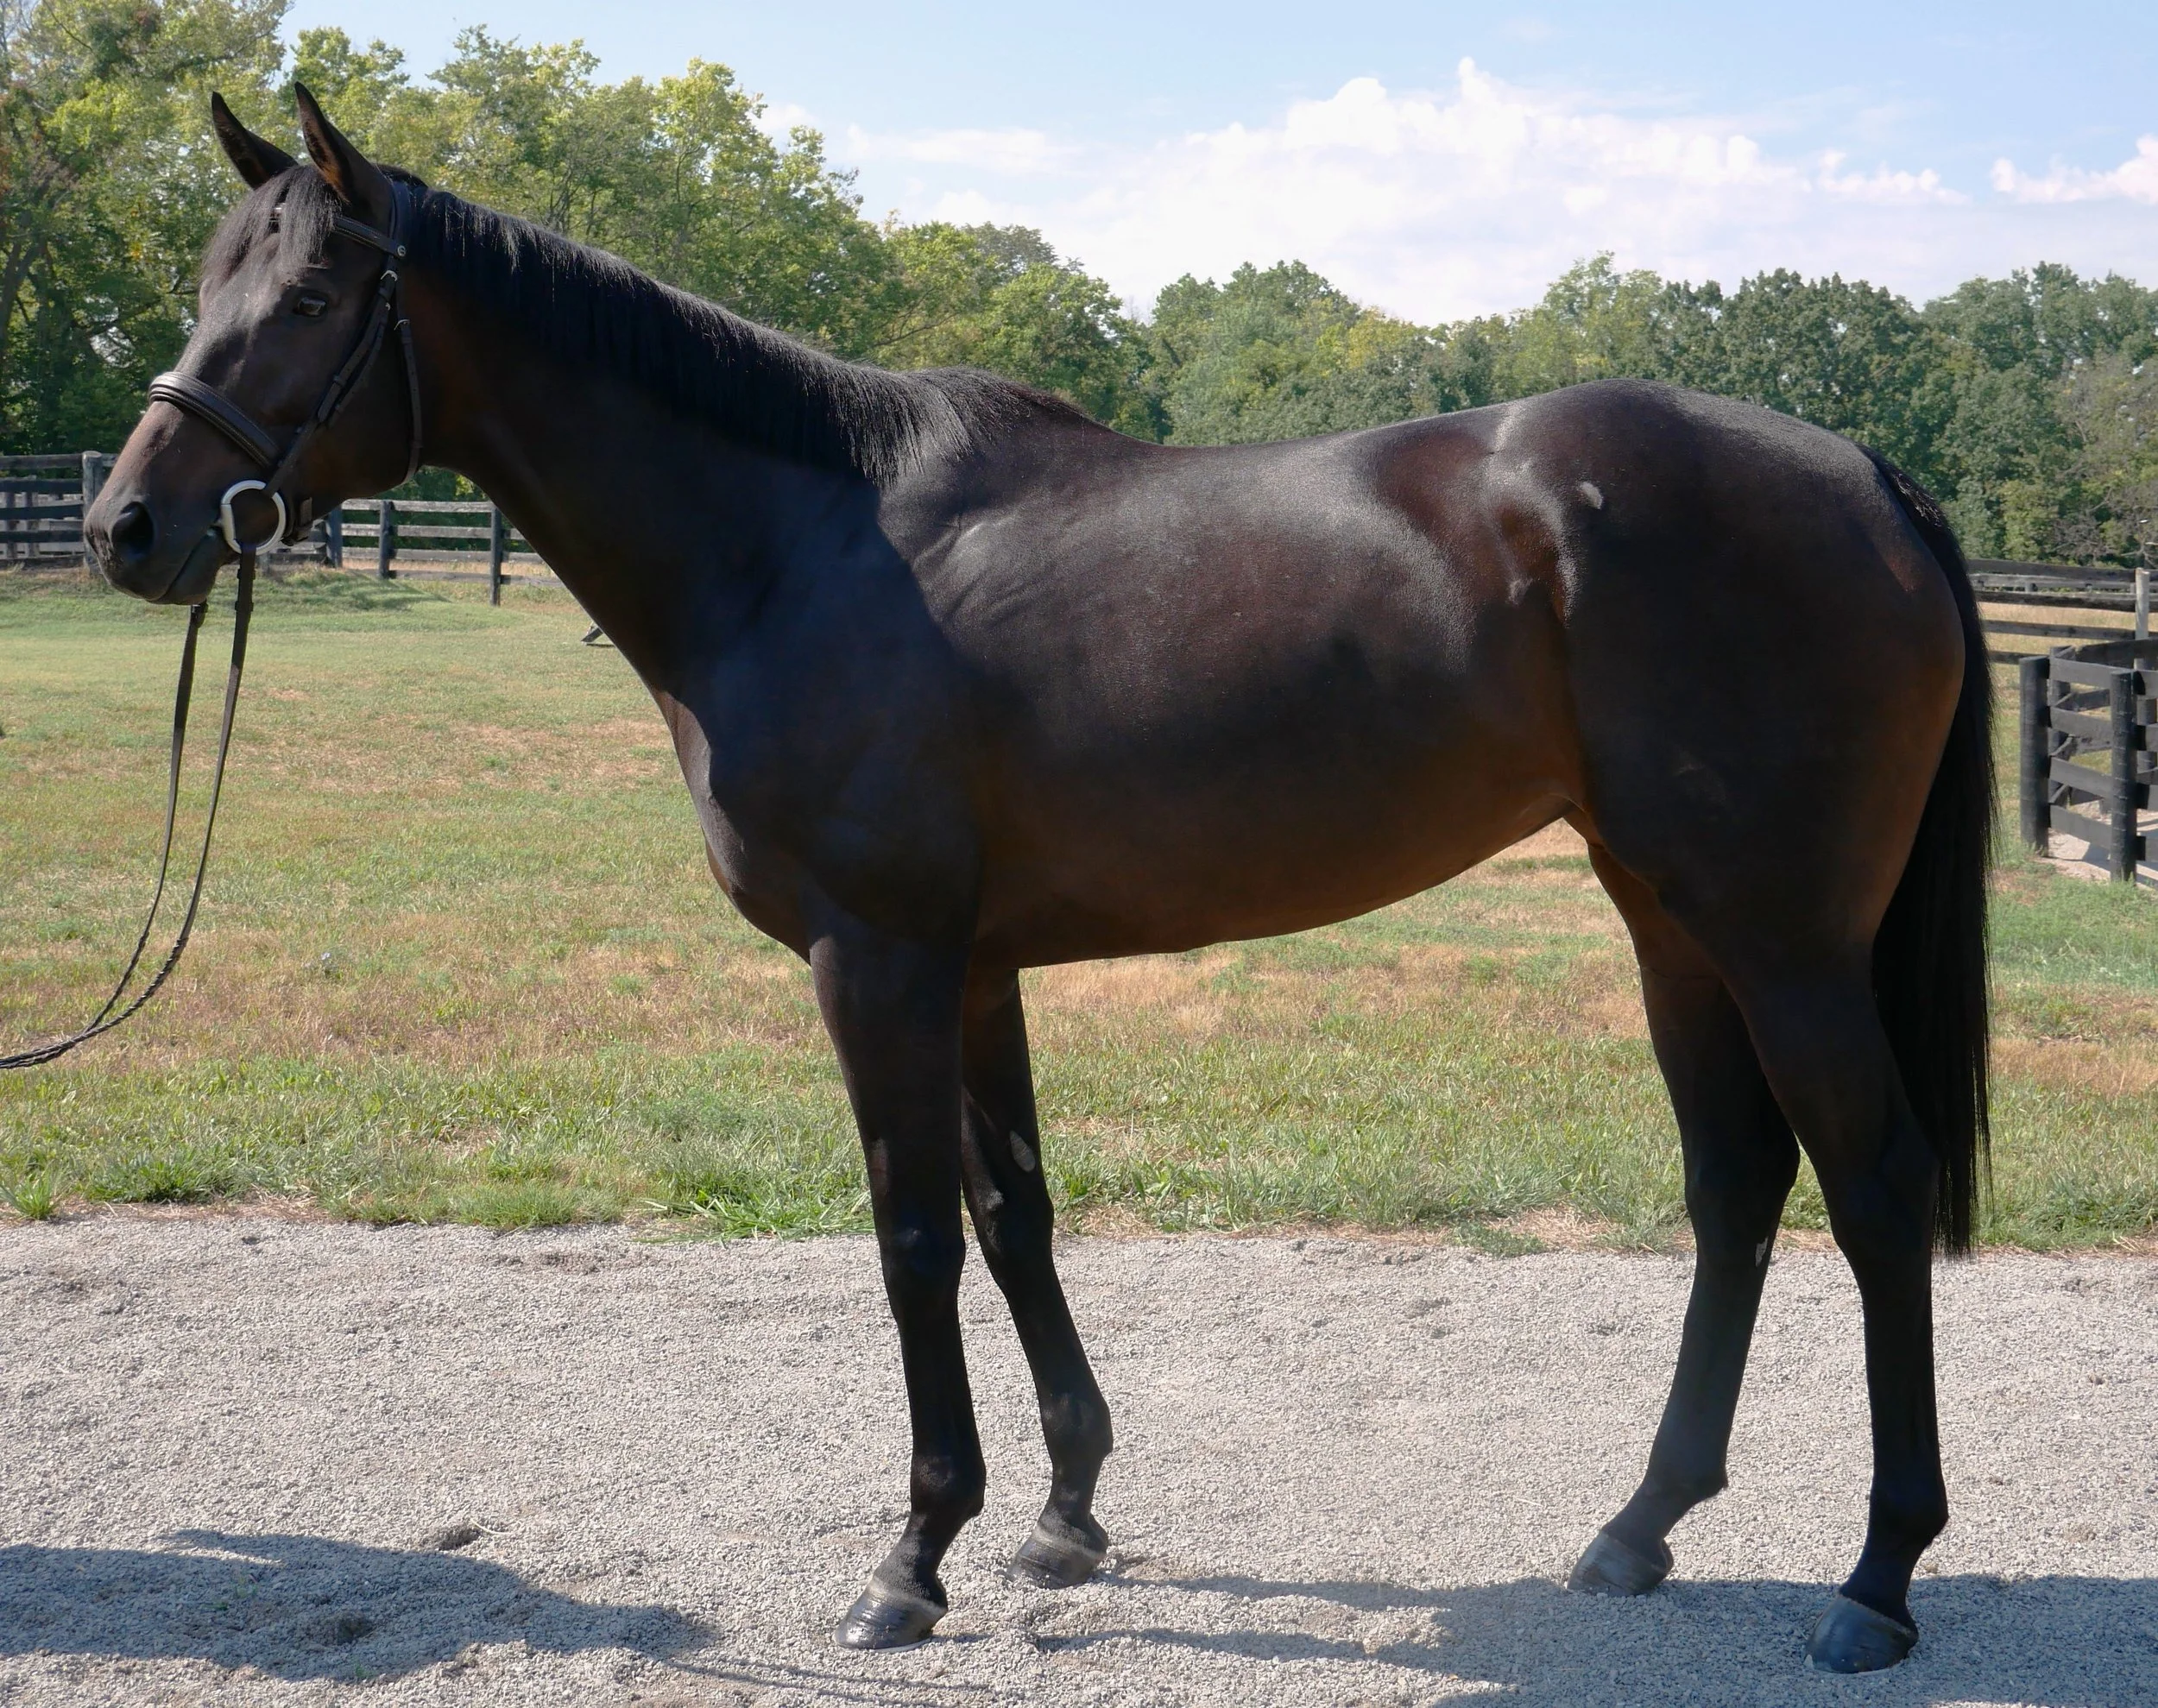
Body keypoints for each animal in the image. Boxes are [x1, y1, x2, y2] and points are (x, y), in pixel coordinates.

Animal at [82, 89, 1993, 1675]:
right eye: (203, 285)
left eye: (308, 302)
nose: (127, 528)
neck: (797, 549)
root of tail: (1861, 470)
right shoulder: (975, 963)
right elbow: (1015, 1213)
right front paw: (1066, 1511)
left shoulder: (876, 959)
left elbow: (912, 1233)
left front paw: (913, 1555)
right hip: (1672, 921)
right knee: (1735, 1186)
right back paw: (1638, 1524)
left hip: (1782, 937)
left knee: (1874, 1188)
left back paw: (1874, 1580)